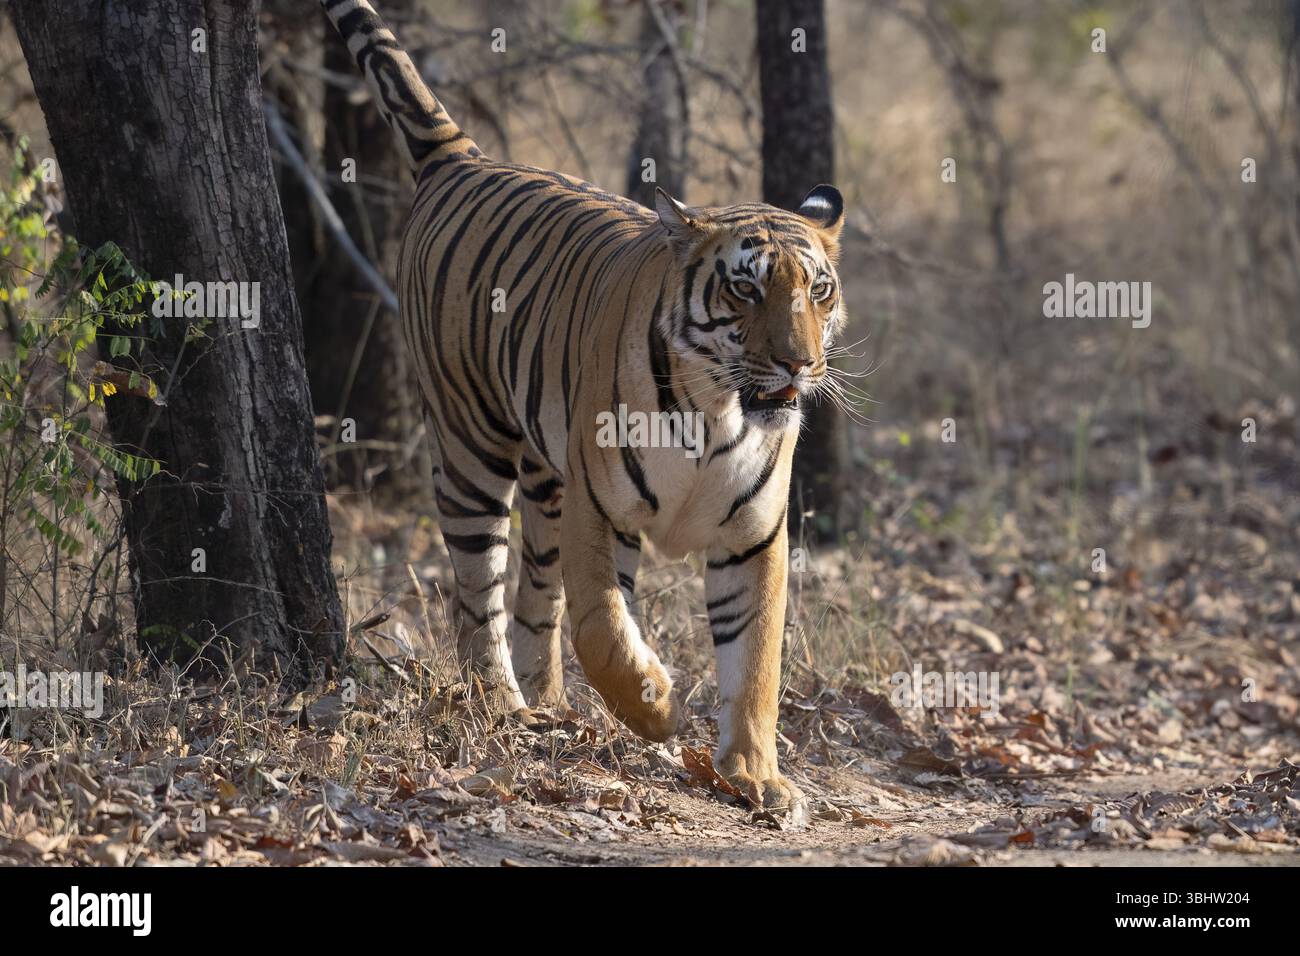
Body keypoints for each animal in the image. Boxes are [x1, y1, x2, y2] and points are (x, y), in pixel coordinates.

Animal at [320, 0, 846, 815]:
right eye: (746, 288)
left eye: (818, 290)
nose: (799, 362)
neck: (719, 414)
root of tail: (464, 157)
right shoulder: (601, 511)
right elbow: (603, 625)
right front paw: (657, 709)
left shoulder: (753, 535)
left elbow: (756, 662)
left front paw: (756, 775)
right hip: (472, 451)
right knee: (477, 593)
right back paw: (502, 704)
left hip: (547, 479)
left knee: (534, 595)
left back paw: (547, 706)